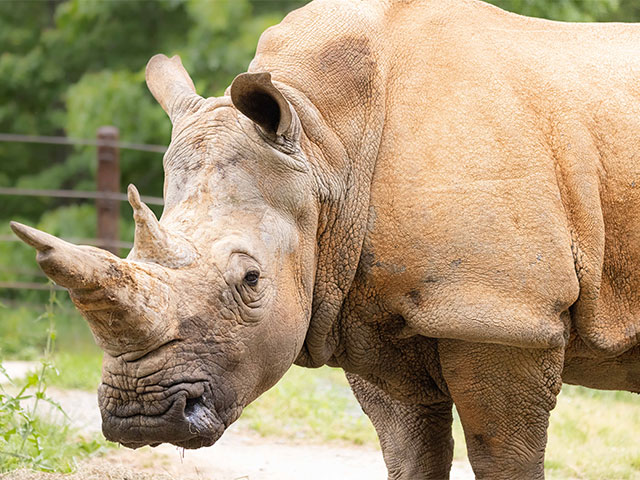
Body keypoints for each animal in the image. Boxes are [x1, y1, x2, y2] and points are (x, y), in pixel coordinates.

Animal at [11, 0, 640, 478]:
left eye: (251, 279)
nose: (140, 415)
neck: (323, 143)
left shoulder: (501, 314)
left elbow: (501, 458)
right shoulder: (375, 318)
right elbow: (411, 454)